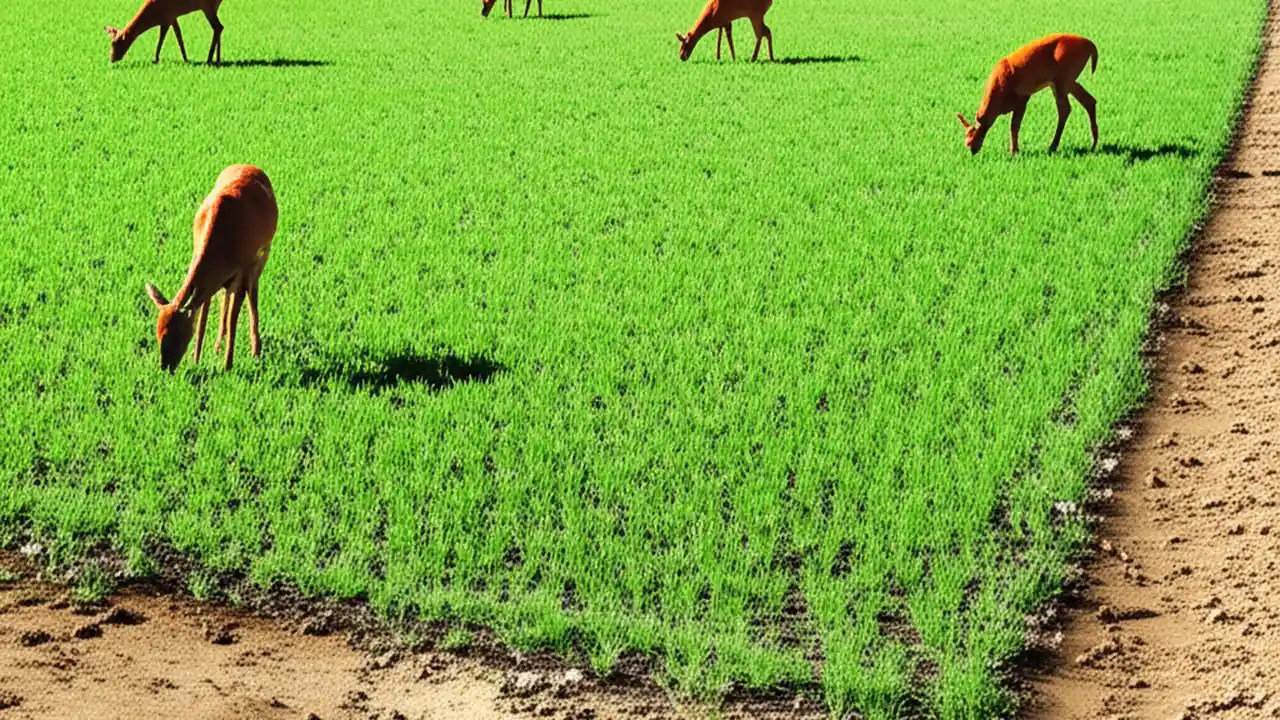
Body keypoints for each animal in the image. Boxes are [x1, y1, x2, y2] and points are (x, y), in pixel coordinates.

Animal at [145, 165, 277, 372]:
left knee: (252, 295)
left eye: (177, 337)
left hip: (263, 255)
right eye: (158, 334)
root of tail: (251, 166)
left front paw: (228, 365)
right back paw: (217, 346)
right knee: (225, 296)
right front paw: (196, 359)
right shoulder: (210, 273)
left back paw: (255, 351)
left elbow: (233, 318)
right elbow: (203, 318)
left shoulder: (244, 267)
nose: (166, 367)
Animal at [957, 34, 1099, 155]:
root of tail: (1091, 45)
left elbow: (1014, 125)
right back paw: (1093, 145)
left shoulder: (1023, 96)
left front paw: (1014, 151)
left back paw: (1053, 146)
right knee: (1089, 101)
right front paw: (1014, 150)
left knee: (1065, 109)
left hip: (1064, 77)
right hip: (1064, 80)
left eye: (970, 141)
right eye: (966, 142)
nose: (972, 152)